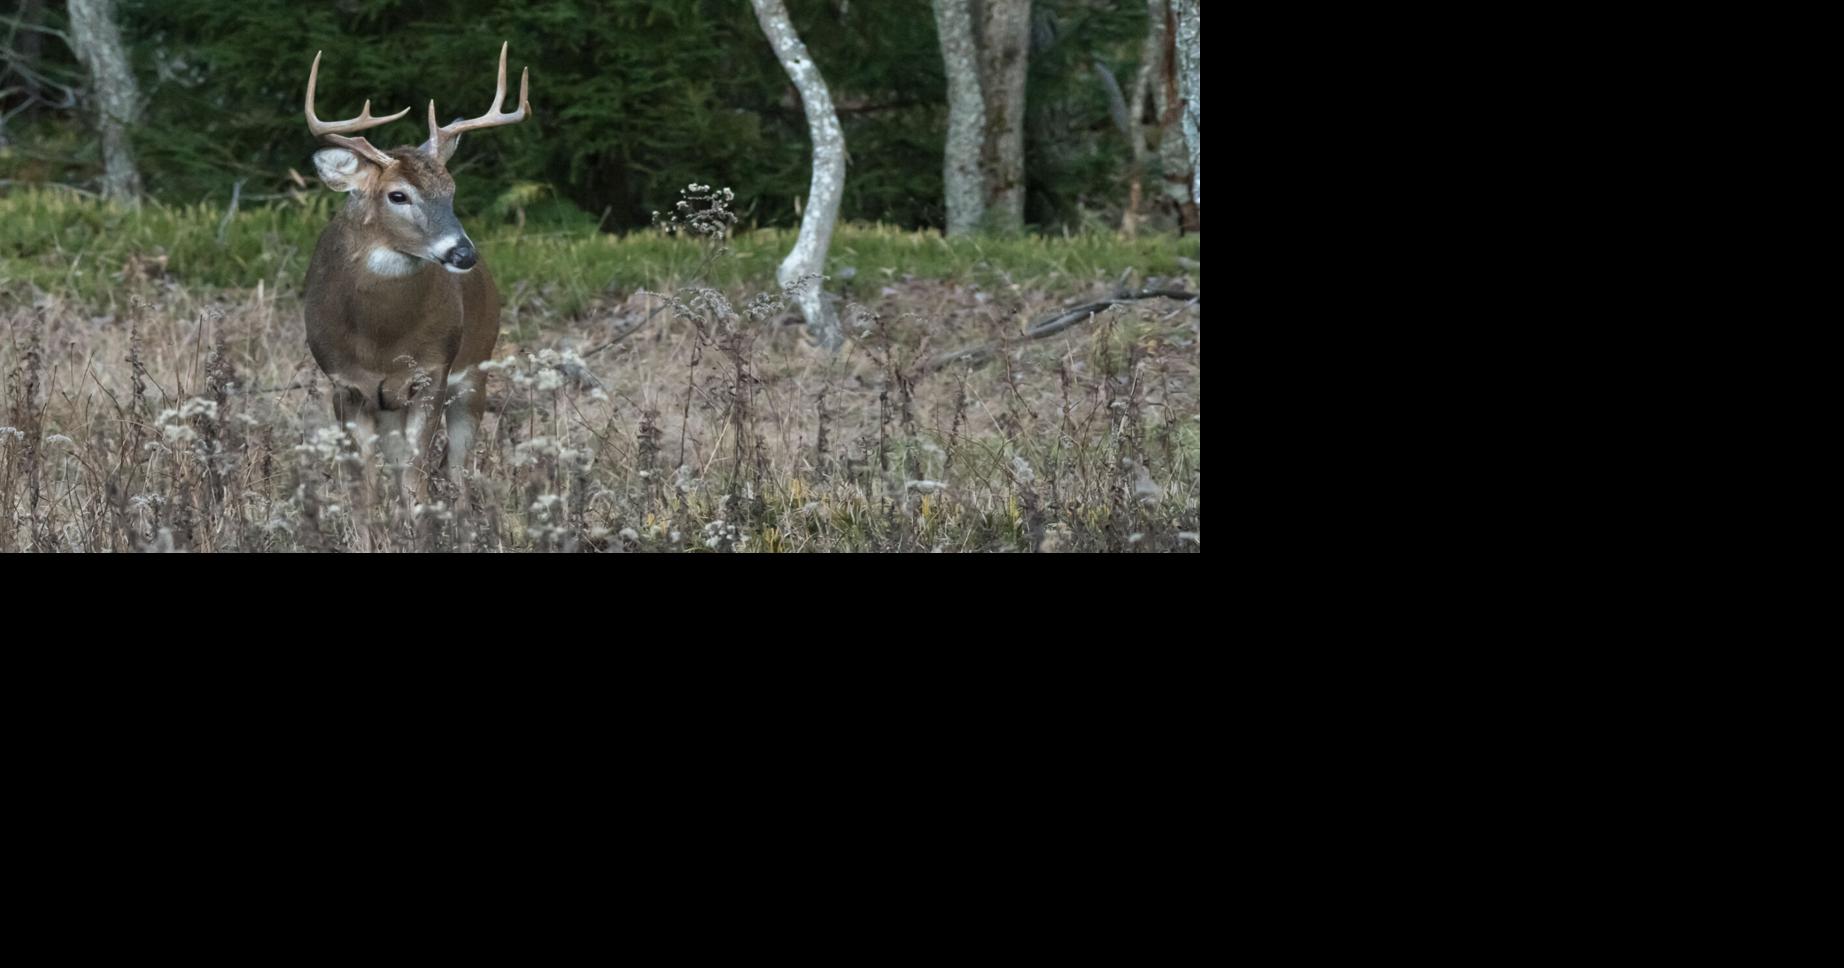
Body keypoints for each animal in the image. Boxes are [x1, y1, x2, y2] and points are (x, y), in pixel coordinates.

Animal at [300, 43, 531, 513]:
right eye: (398, 195)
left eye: (452, 191)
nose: (463, 253)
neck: (380, 343)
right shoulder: (343, 383)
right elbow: (364, 487)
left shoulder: (432, 373)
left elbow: (415, 476)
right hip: (390, 404)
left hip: (476, 369)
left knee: (456, 468)